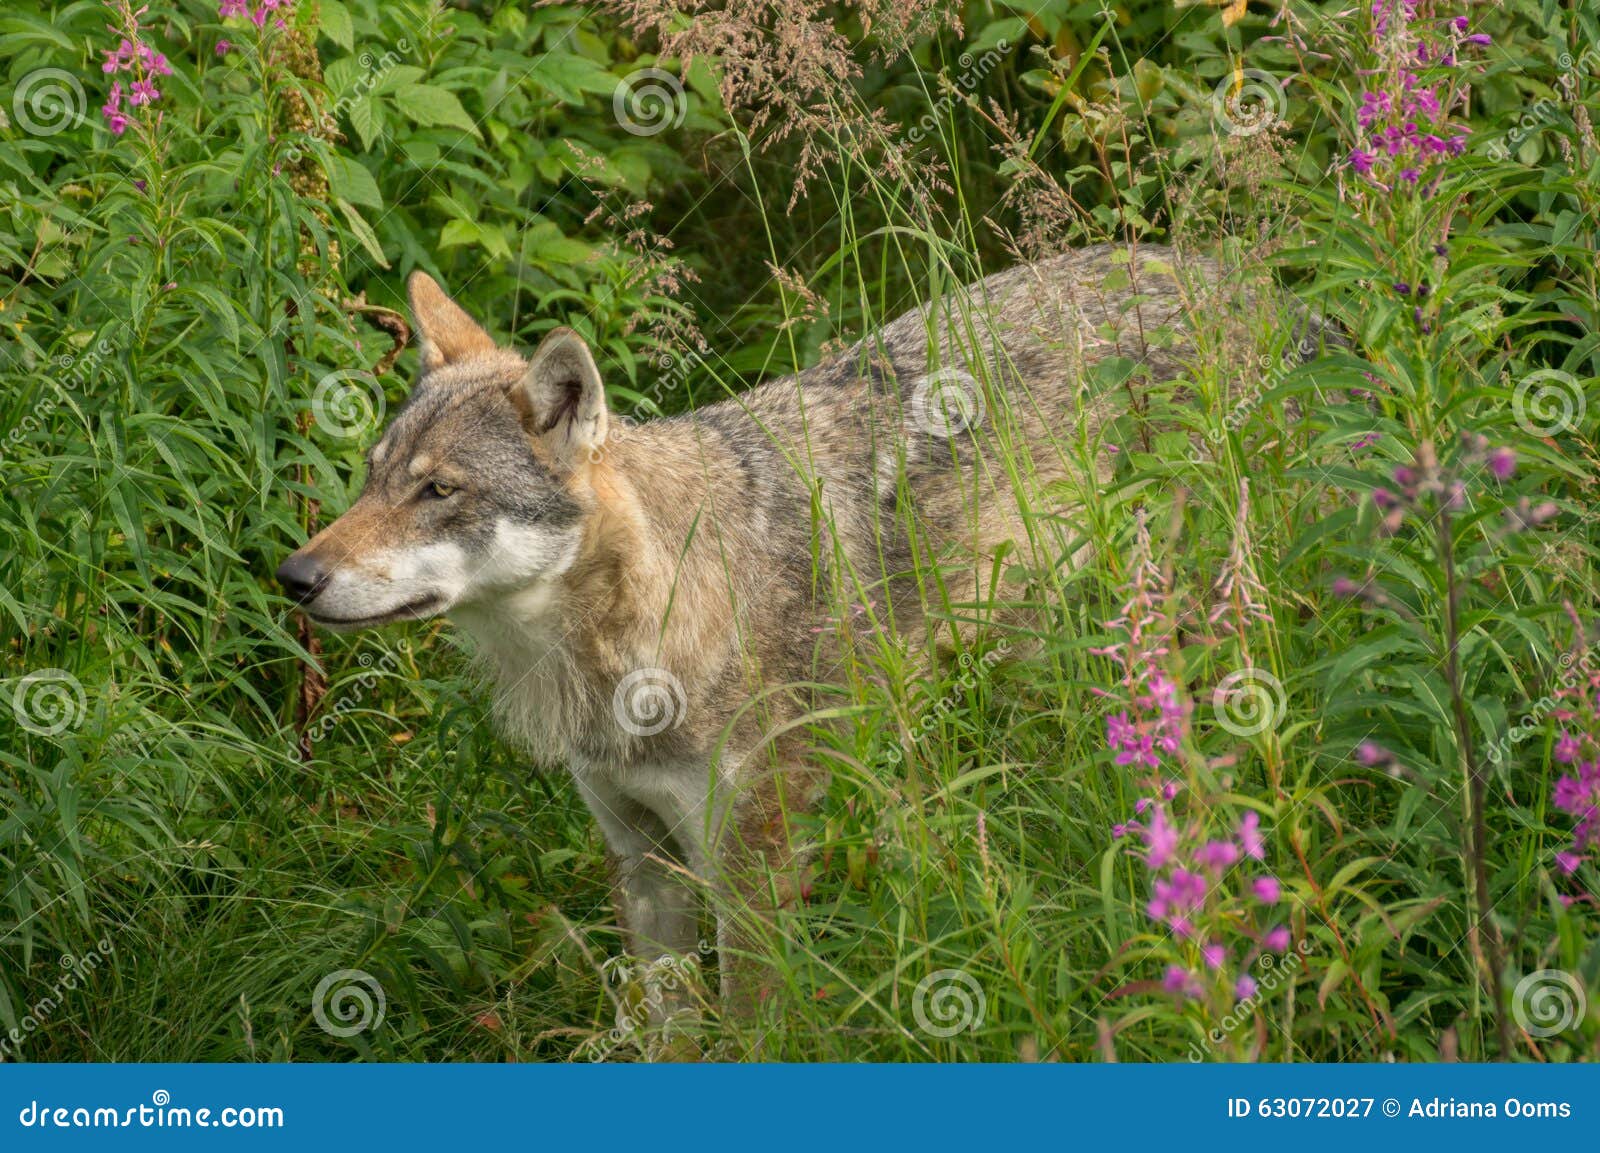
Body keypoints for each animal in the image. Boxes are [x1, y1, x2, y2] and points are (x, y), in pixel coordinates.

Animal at [276, 244, 1283, 1000]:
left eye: (439, 492)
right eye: (371, 476)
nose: (293, 576)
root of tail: (1246, 278)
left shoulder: (754, 865)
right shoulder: (640, 860)